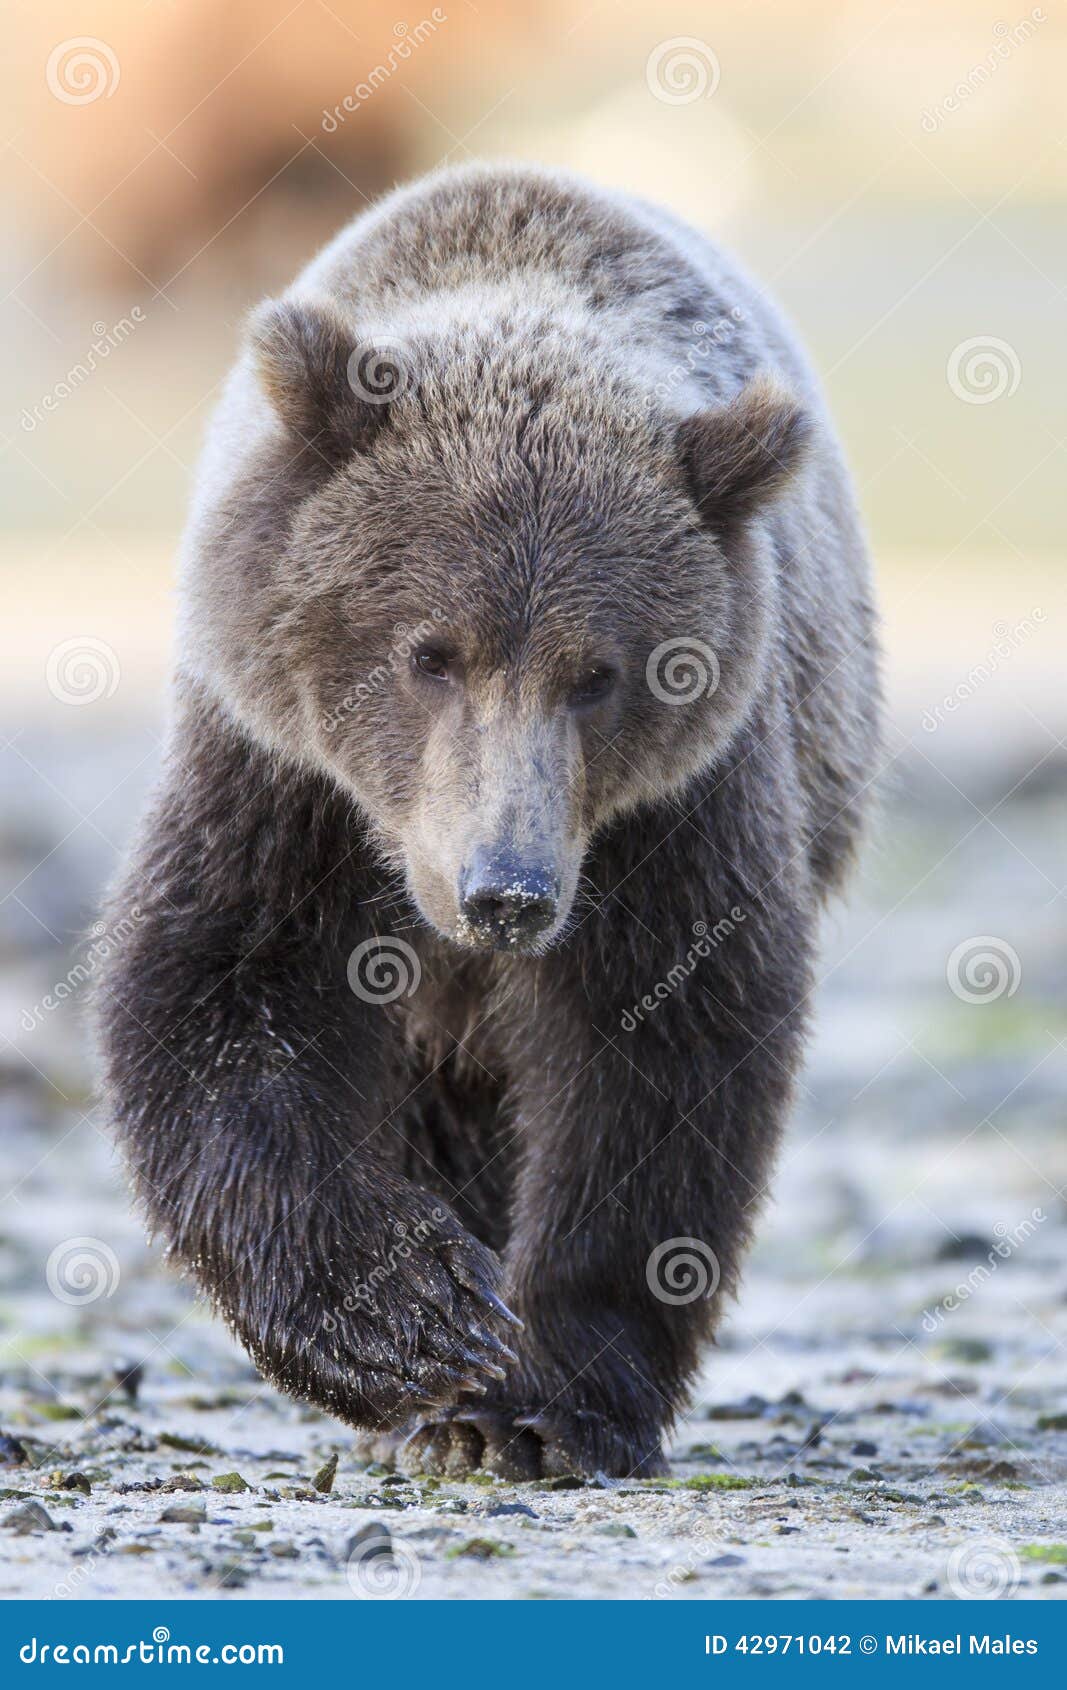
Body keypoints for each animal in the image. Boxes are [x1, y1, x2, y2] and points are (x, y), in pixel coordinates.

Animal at [96, 161, 880, 1480]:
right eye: (430, 651)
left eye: (599, 673)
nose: (504, 891)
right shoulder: (279, 776)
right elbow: (221, 997)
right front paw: (410, 1321)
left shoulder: (673, 811)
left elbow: (655, 1061)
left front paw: (542, 1399)